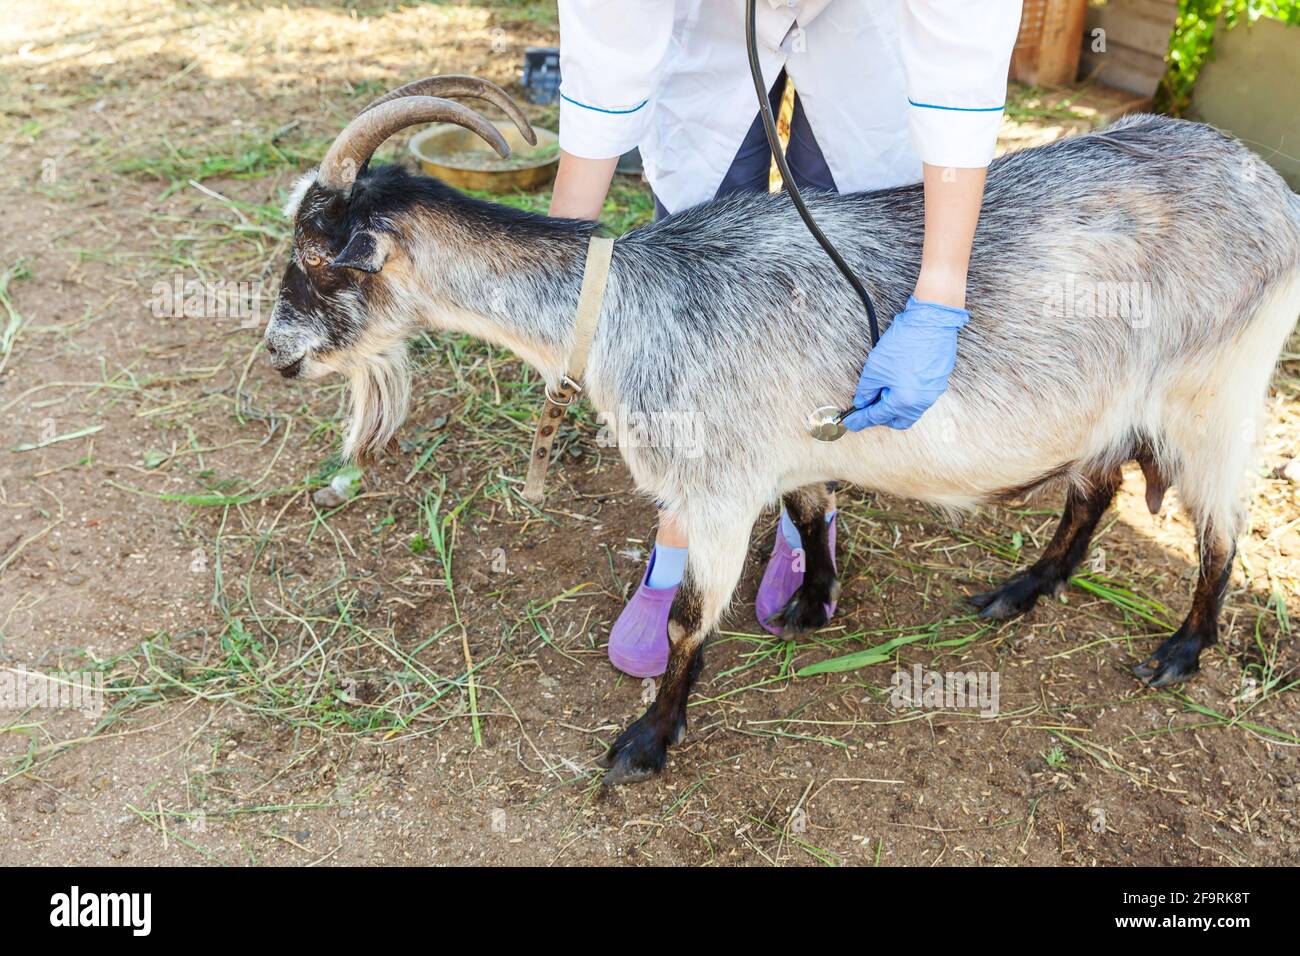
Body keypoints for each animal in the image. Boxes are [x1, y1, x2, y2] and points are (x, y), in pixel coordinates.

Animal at [265, 75, 1300, 785]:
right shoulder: (792, 447)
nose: (278, 356)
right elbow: (807, 513)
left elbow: (687, 622)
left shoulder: (717, 490)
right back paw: (1021, 591)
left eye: (317, 261)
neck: (625, 306)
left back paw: (1180, 651)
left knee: (1223, 523)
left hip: (1214, 389)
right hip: (1114, 402)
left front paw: (646, 744)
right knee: (1095, 486)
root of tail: (1265, 183)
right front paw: (810, 604)